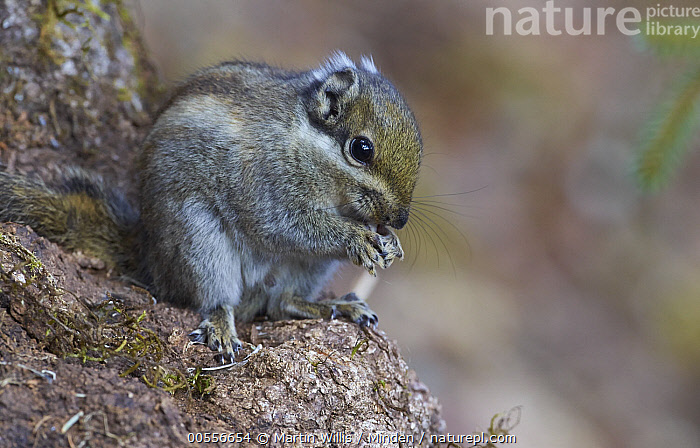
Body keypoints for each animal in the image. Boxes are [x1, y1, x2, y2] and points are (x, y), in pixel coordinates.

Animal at [0, 51, 423, 362]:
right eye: (361, 148)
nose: (400, 219)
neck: (303, 141)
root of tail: (149, 257)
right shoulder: (266, 187)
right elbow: (287, 226)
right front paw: (357, 237)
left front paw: (389, 243)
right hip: (199, 242)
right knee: (217, 298)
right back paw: (221, 325)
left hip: (308, 266)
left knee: (282, 303)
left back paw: (336, 305)